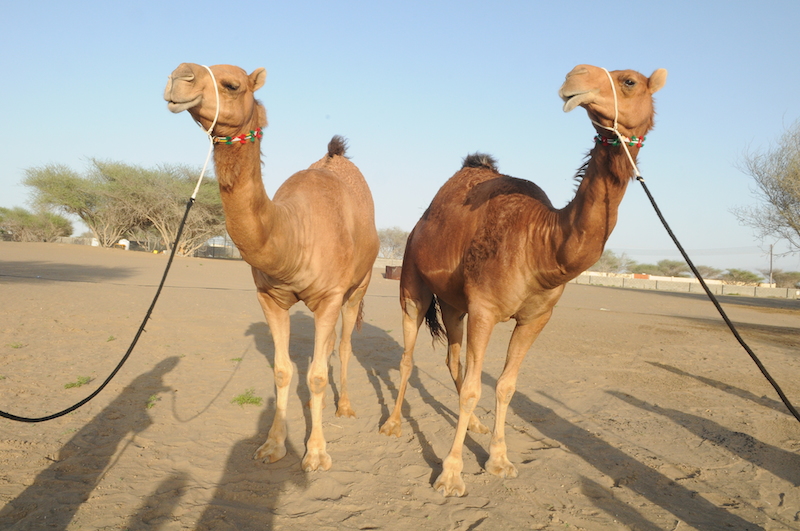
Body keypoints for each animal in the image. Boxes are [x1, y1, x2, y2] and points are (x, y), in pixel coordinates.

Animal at [164, 63, 379, 472]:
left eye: (232, 84)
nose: (179, 76)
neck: (293, 231)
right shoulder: (269, 298)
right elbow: (282, 370)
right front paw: (272, 446)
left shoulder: (330, 296)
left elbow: (315, 376)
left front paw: (316, 454)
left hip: (358, 287)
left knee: (344, 346)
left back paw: (344, 406)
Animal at [379, 64, 667, 496]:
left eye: (629, 81)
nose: (574, 77)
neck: (542, 243)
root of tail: (417, 228)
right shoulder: (484, 309)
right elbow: (474, 388)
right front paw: (450, 474)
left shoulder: (535, 318)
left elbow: (505, 385)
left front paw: (499, 460)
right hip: (413, 279)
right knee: (409, 356)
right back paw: (393, 424)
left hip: (453, 303)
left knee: (452, 357)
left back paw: (476, 424)